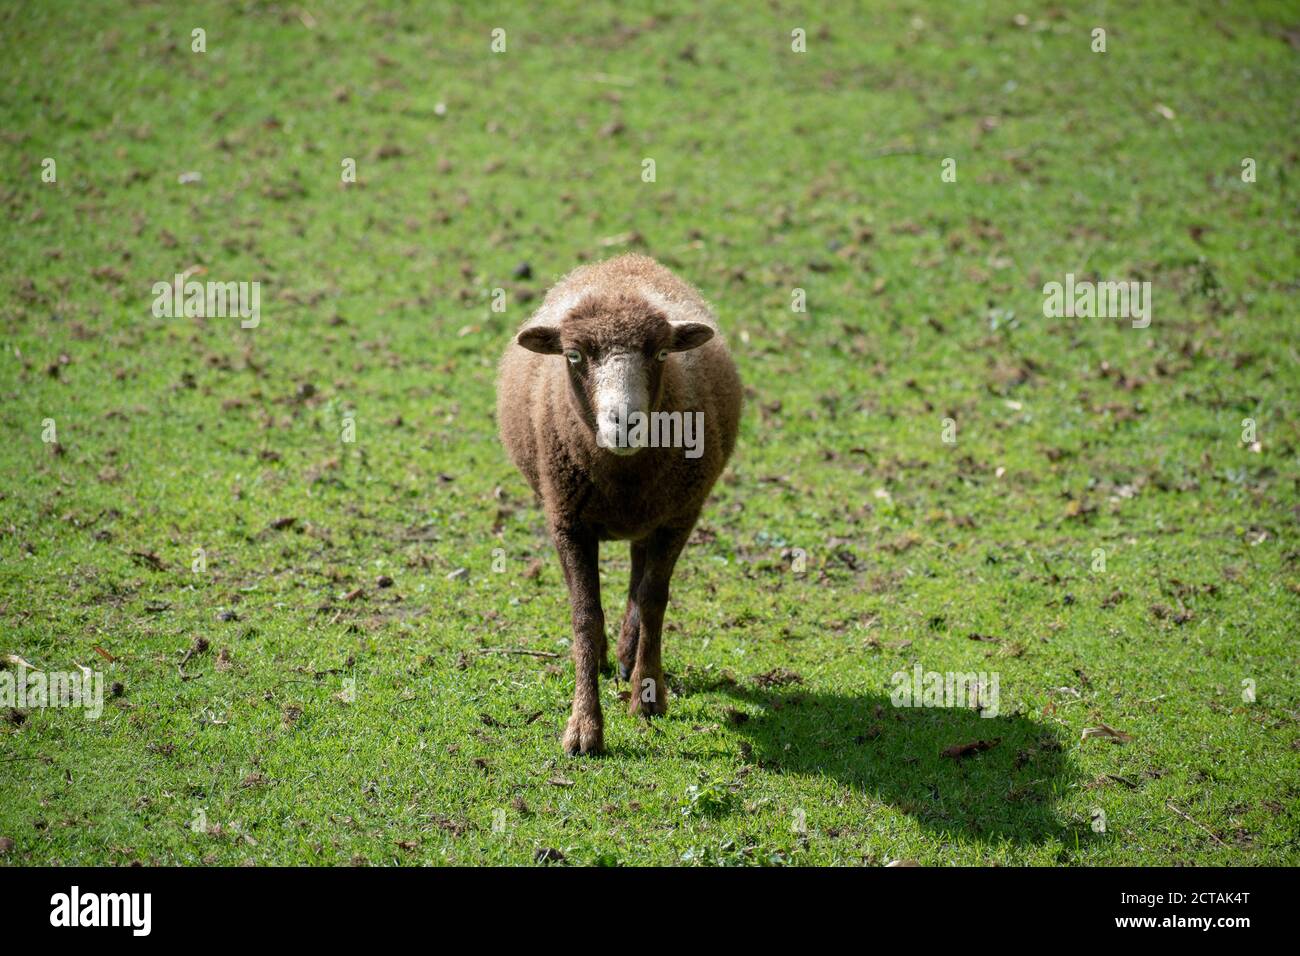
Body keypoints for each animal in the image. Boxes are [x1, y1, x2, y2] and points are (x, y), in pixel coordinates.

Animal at [496, 254, 742, 755]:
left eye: (662, 353)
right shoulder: (566, 520)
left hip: (654, 513)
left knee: (638, 577)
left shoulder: (680, 517)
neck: (624, 474)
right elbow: (585, 615)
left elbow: (653, 600)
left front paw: (648, 698)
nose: (624, 423)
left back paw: (630, 659)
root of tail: (625, 261)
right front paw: (584, 728)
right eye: (573, 356)